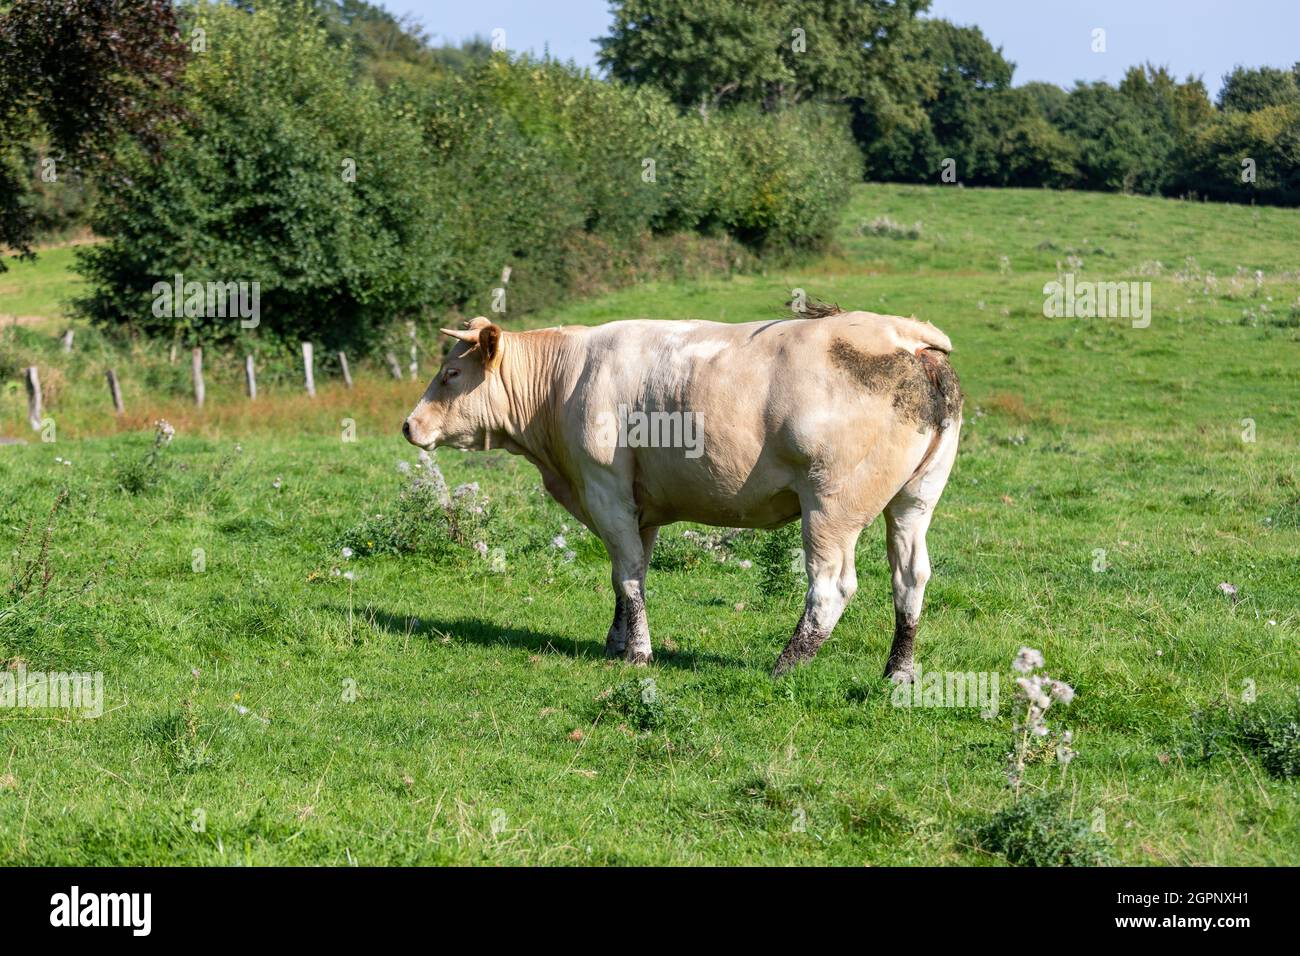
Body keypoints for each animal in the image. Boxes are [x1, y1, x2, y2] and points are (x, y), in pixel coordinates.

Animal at [403, 309, 962, 681]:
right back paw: (898, 672)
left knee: (831, 586)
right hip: (916, 499)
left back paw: (784, 665)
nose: (409, 425)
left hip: (831, 506)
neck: (563, 382)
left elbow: (628, 576)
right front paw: (616, 641)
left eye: (451, 374)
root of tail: (902, 334)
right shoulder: (638, 505)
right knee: (911, 576)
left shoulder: (604, 488)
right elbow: (627, 575)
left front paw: (638, 654)